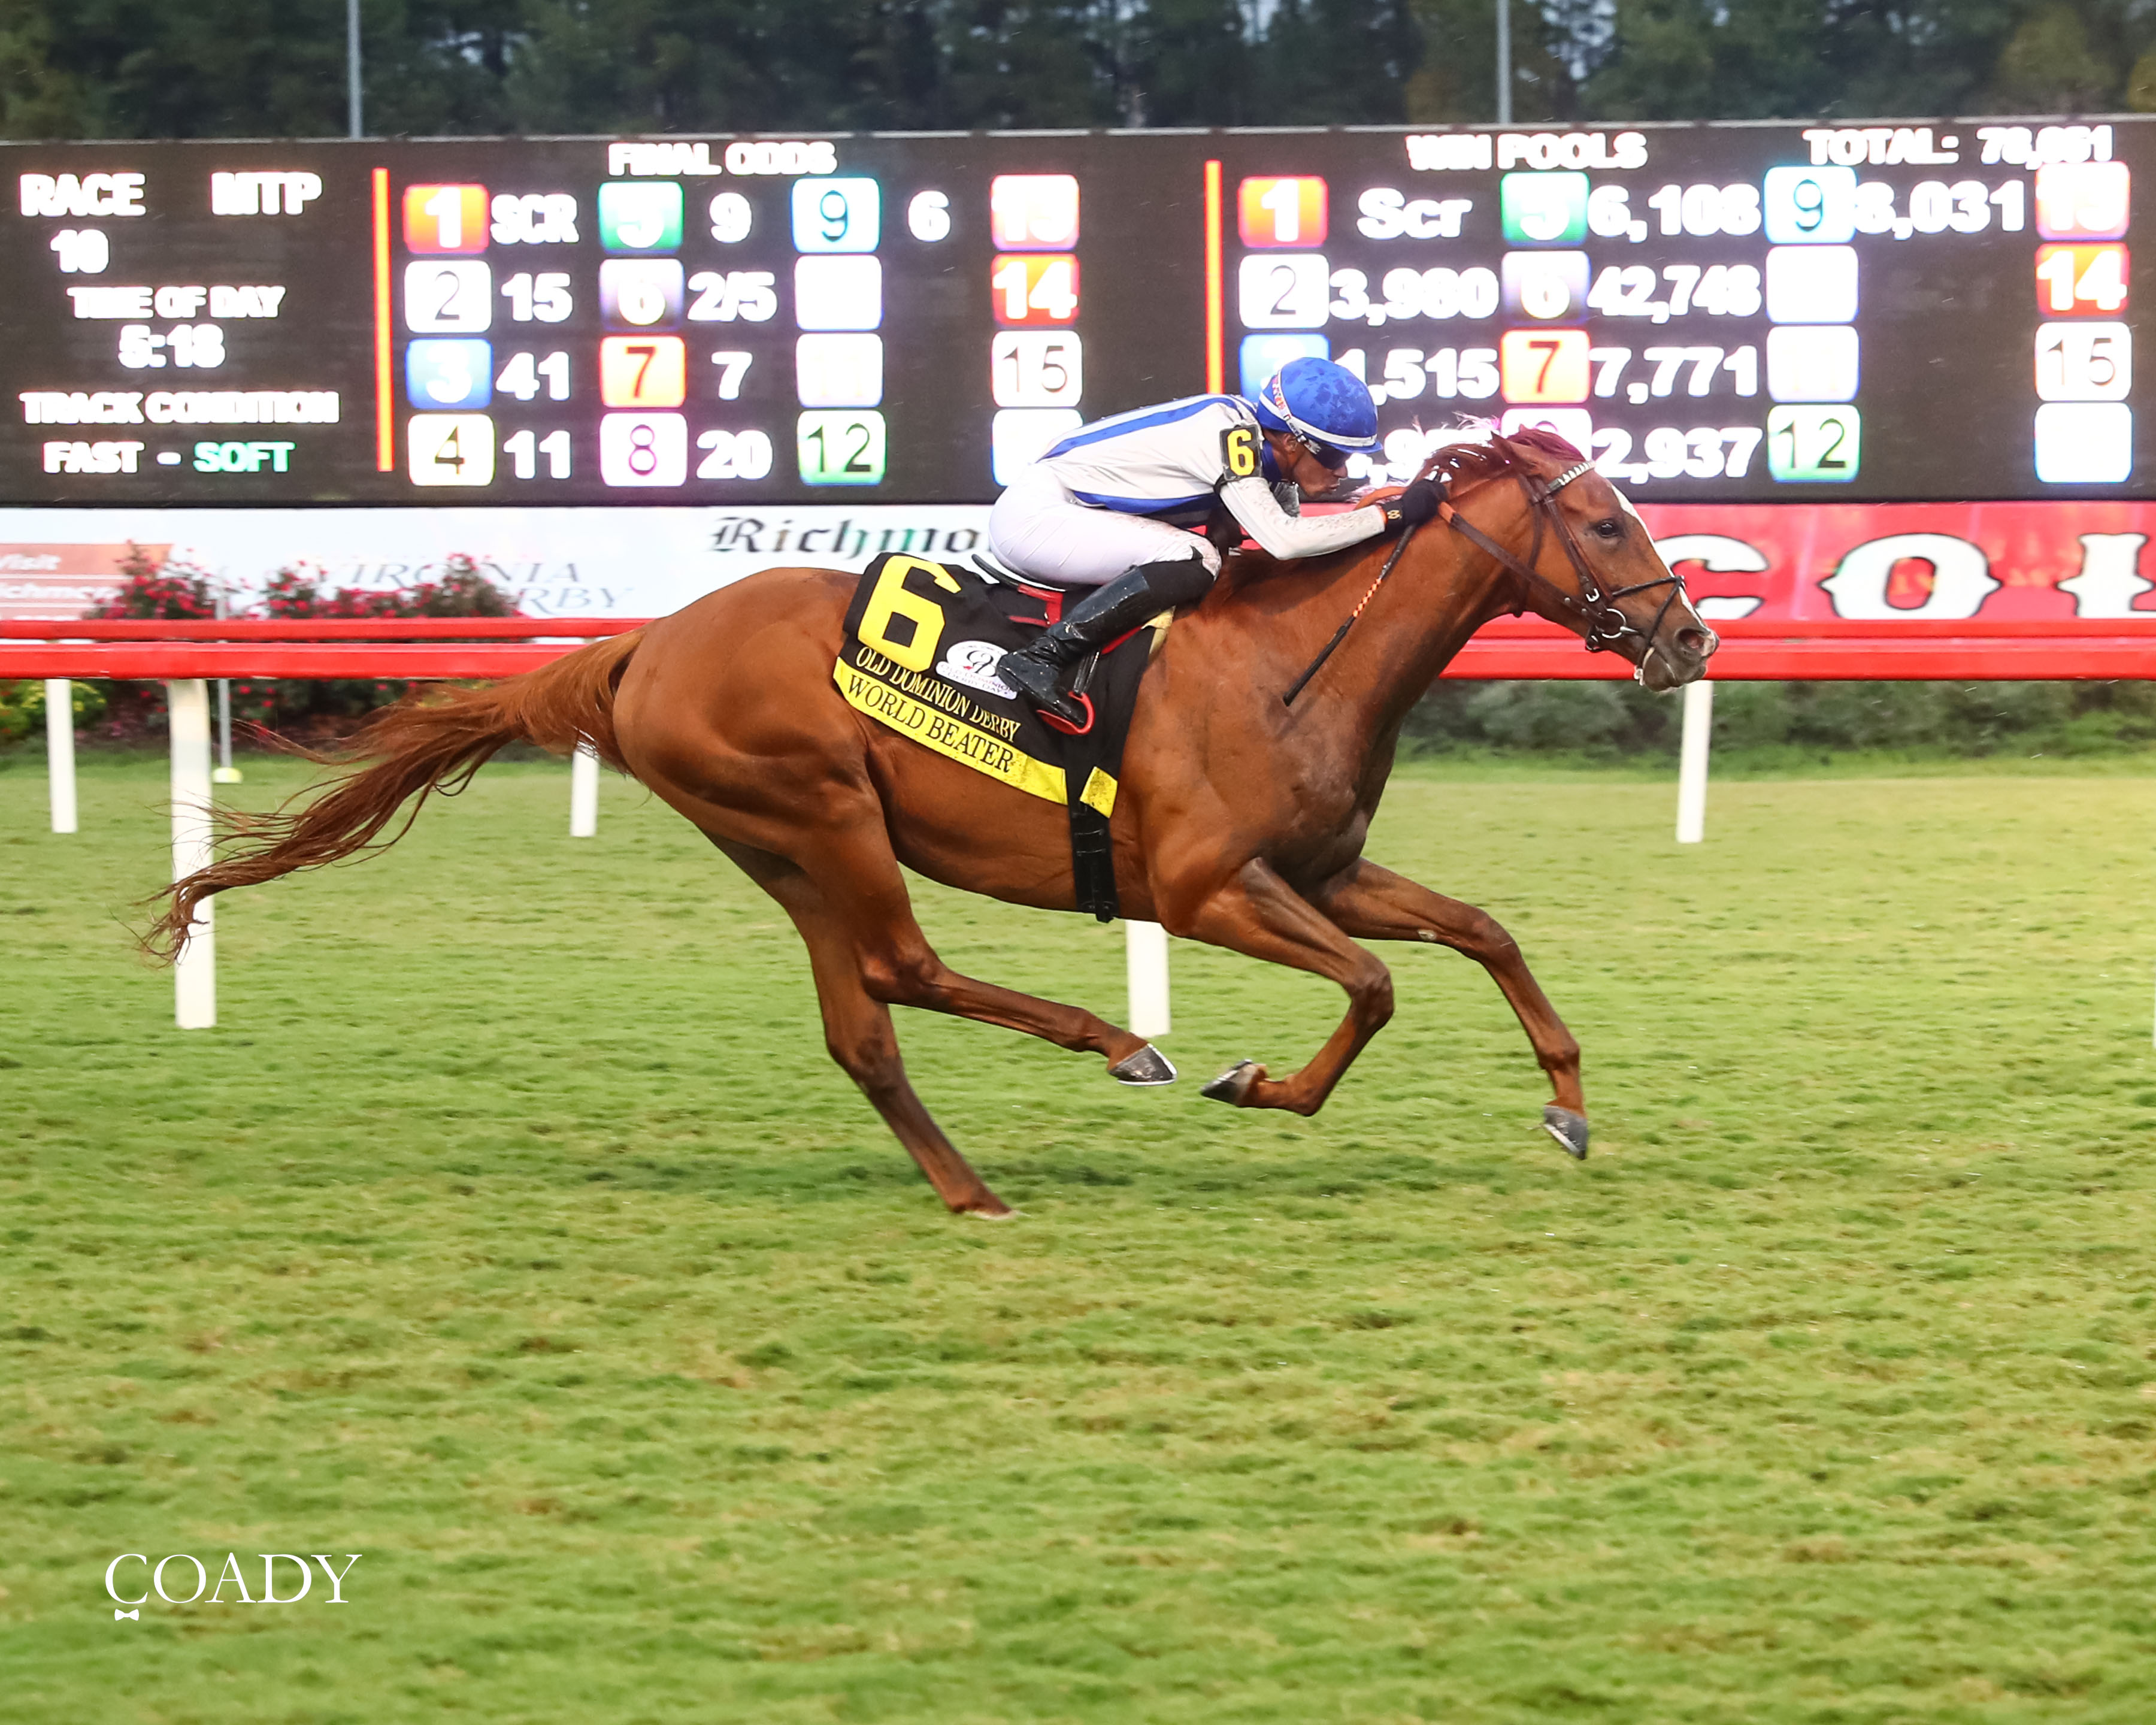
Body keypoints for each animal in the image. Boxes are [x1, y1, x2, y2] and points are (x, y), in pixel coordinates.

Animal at [149, 430, 1716, 1218]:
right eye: (1607, 524)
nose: (1691, 638)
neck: (1291, 659)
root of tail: (646, 644)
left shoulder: (1320, 869)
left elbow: (1477, 932)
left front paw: (1568, 1104)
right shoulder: (1209, 887)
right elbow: (1379, 986)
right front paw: (1255, 1084)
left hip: (783, 846)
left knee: (864, 1020)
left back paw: (969, 1185)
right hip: (825, 809)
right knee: (902, 969)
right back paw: (1122, 1044)